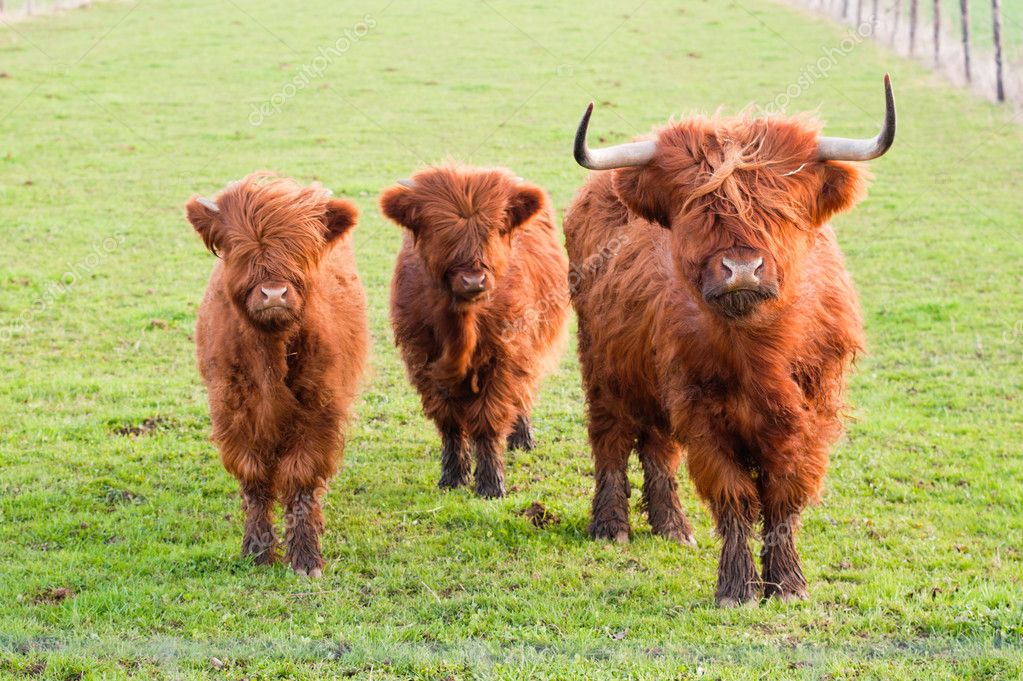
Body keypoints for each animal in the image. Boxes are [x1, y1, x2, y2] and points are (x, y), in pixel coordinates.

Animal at [186, 173, 368, 577]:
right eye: (238, 248)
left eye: (301, 247)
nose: (273, 293)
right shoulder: (232, 411)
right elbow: (254, 479)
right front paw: (256, 550)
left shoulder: (319, 410)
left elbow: (300, 479)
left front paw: (305, 556)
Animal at [381, 166, 569, 498]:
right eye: (439, 230)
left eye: (494, 229)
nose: (473, 280)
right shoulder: (423, 359)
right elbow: (449, 422)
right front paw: (453, 476)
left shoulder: (504, 358)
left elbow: (488, 420)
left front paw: (491, 483)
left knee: (522, 391)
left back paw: (522, 438)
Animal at [564, 76, 896, 605]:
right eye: (698, 209)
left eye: (781, 209)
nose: (742, 268)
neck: (757, 352)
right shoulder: (702, 415)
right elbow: (735, 497)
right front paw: (737, 587)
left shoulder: (811, 415)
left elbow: (784, 497)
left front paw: (787, 584)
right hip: (603, 365)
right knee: (611, 439)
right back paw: (612, 526)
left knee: (658, 446)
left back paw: (672, 526)